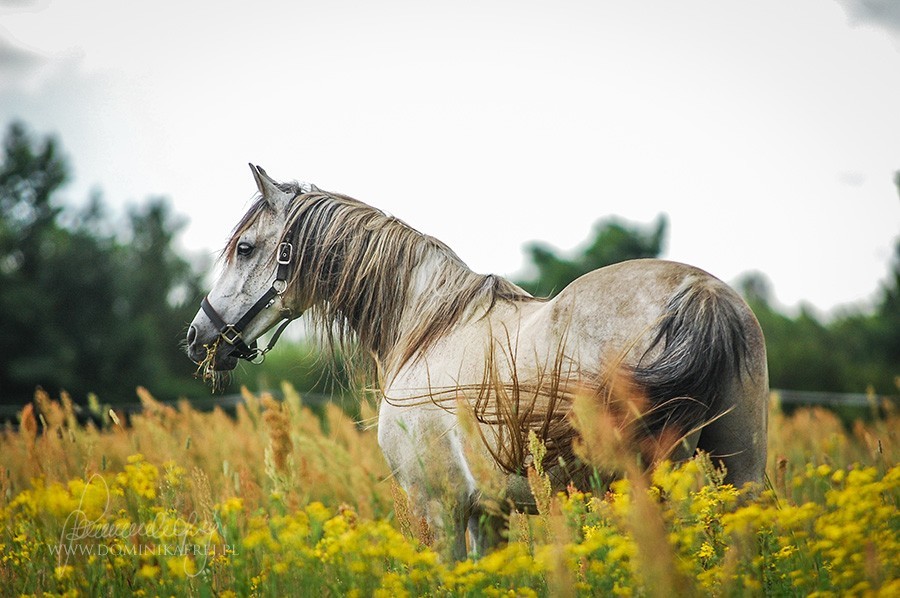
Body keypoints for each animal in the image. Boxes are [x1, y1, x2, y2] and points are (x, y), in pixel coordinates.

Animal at [186, 165, 768, 560]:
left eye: (245, 247)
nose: (198, 337)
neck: (427, 324)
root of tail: (701, 293)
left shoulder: (440, 507)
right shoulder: (491, 512)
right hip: (742, 471)